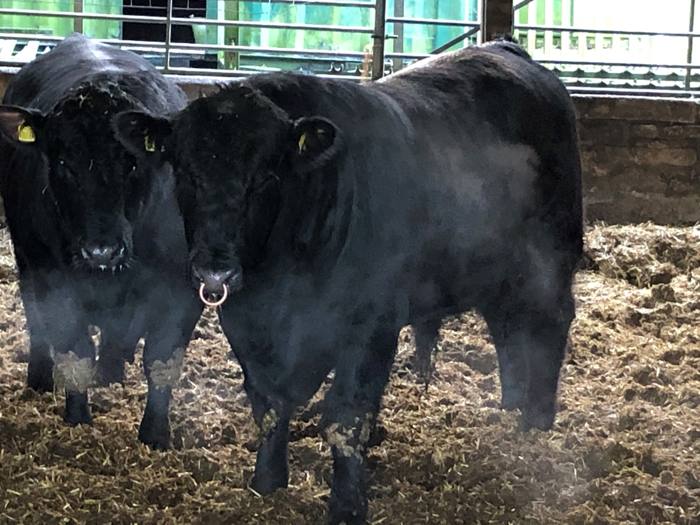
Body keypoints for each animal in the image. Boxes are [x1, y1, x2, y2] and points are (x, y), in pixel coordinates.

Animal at [0, 34, 202, 449]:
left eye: (132, 161)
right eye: (62, 163)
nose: (101, 250)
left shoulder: (182, 289)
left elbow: (162, 361)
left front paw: (155, 434)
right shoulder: (53, 280)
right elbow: (74, 353)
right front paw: (78, 419)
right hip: (28, 262)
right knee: (37, 322)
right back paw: (40, 378)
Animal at [114, 40, 583, 523]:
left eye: (264, 178)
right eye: (185, 173)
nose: (215, 269)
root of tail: (506, 50)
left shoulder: (371, 327)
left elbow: (347, 419)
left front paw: (347, 504)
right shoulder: (244, 324)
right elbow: (268, 404)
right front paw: (267, 480)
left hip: (551, 259)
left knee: (551, 322)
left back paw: (536, 420)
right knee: (506, 326)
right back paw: (512, 403)